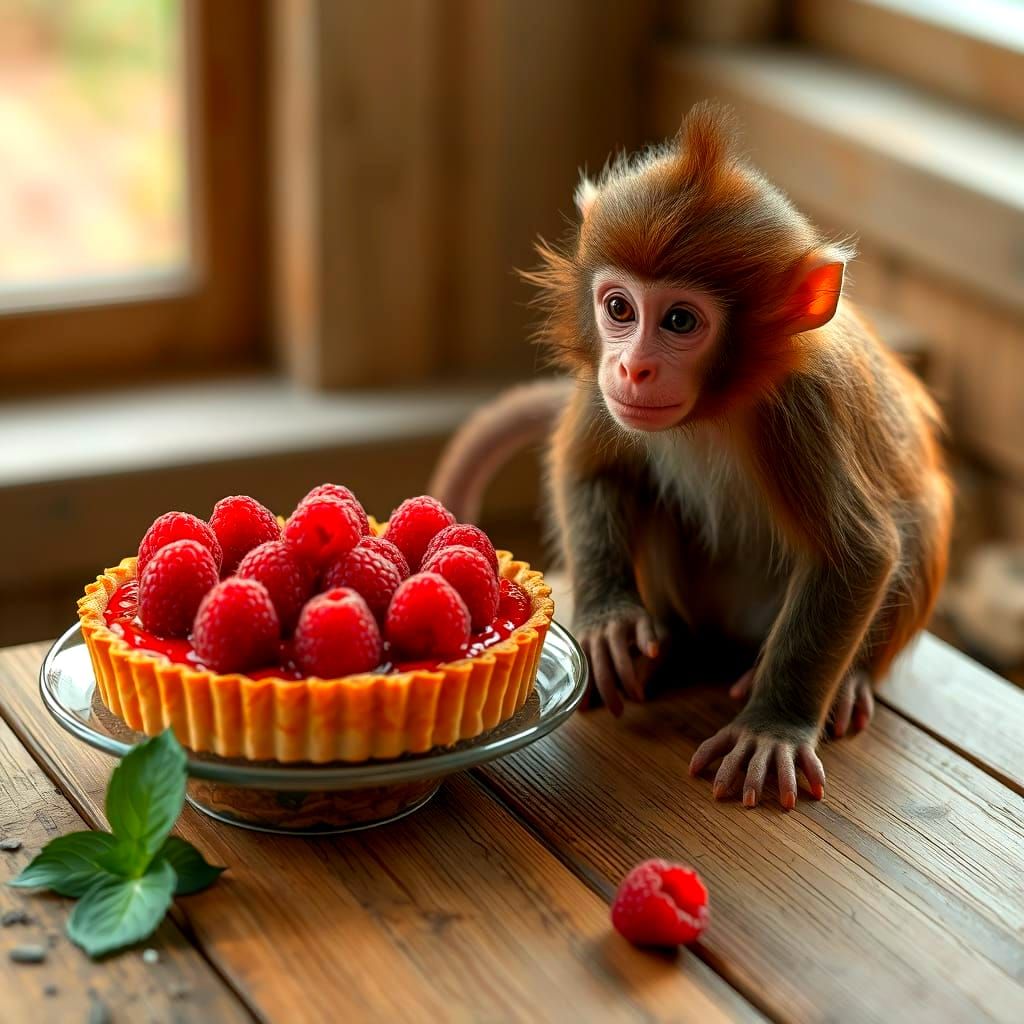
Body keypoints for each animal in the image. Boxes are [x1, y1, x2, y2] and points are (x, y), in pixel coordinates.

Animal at [430, 104, 952, 810]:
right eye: (619, 308)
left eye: (679, 321)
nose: (634, 367)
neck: (717, 407)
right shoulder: (604, 388)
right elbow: (593, 472)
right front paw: (610, 620)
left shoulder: (807, 408)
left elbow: (860, 554)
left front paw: (773, 726)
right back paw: (669, 645)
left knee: (913, 524)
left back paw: (845, 680)